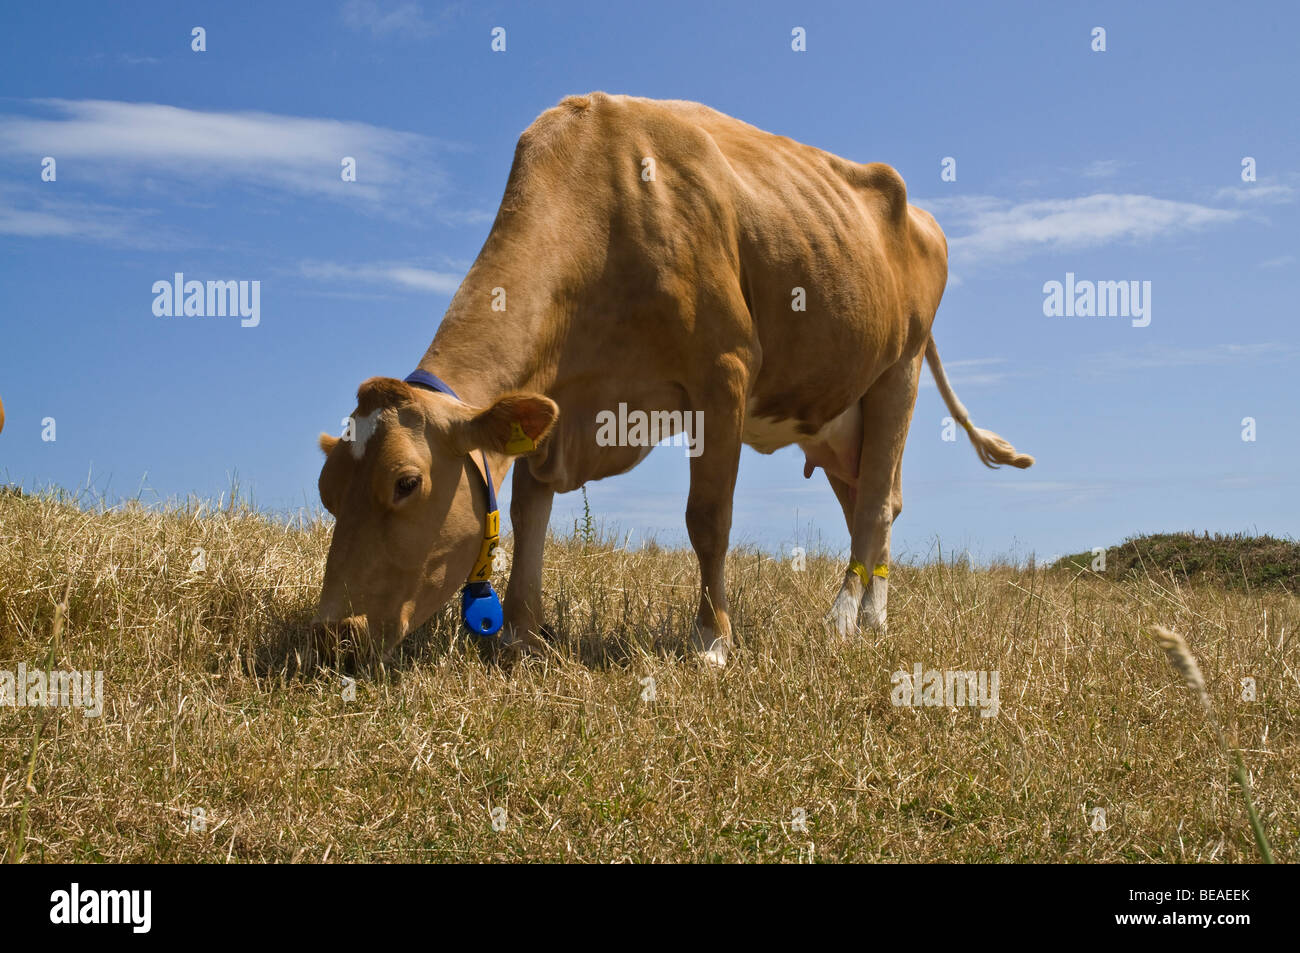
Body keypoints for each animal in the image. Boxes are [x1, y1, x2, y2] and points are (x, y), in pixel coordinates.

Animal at [312, 93, 1033, 666]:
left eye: (406, 483)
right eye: (327, 491)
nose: (333, 632)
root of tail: (921, 214)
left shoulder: (723, 375)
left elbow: (707, 518)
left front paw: (712, 640)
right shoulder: (558, 406)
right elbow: (526, 511)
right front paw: (520, 632)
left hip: (898, 372)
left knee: (877, 503)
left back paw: (850, 620)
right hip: (836, 411)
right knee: (870, 502)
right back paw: (867, 614)